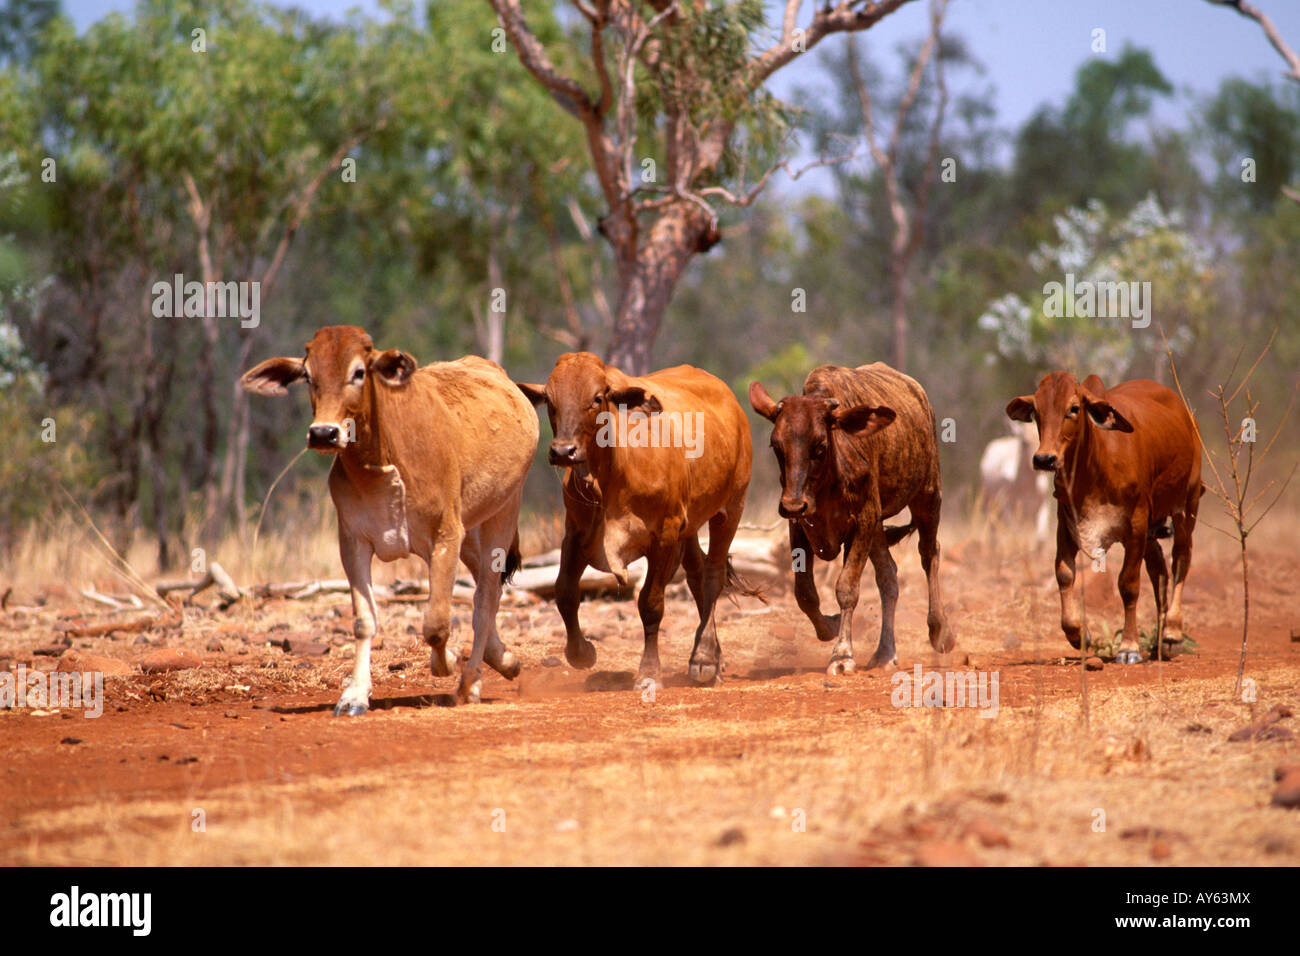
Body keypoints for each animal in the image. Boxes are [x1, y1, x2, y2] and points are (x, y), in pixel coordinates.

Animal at [241, 325, 539, 714]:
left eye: (358, 372)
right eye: (307, 375)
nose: (323, 433)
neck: (381, 459)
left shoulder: (445, 534)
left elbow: (436, 624)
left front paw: (449, 661)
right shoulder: (352, 541)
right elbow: (364, 621)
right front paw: (354, 695)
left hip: (502, 514)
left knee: (486, 597)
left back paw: (470, 682)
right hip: (470, 532)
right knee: (483, 591)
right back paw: (503, 659)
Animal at [517, 352, 753, 688]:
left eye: (597, 397)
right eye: (549, 399)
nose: (563, 451)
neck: (611, 472)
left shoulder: (664, 535)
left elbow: (651, 604)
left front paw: (649, 673)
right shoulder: (575, 533)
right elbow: (564, 592)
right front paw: (581, 653)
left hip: (731, 509)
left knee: (713, 576)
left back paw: (704, 658)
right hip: (691, 524)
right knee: (696, 576)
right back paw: (712, 659)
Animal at [749, 363, 953, 674]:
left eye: (820, 446)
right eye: (776, 446)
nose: (793, 504)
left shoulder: (862, 521)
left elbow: (847, 587)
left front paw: (842, 654)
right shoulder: (799, 527)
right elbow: (805, 593)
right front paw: (831, 626)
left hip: (928, 496)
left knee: (929, 554)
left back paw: (939, 630)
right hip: (880, 527)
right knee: (888, 576)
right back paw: (885, 652)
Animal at [1006, 371, 1203, 664]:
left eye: (1074, 408)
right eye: (1036, 412)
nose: (1044, 459)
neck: (1093, 466)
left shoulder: (1136, 524)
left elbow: (1128, 584)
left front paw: (1129, 646)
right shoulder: (1066, 524)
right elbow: (1064, 574)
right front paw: (1079, 634)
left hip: (1186, 505)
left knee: (1180, 558)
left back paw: (1172, 631)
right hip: (1152, 529)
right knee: (1159, 570)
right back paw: (1158, 642)